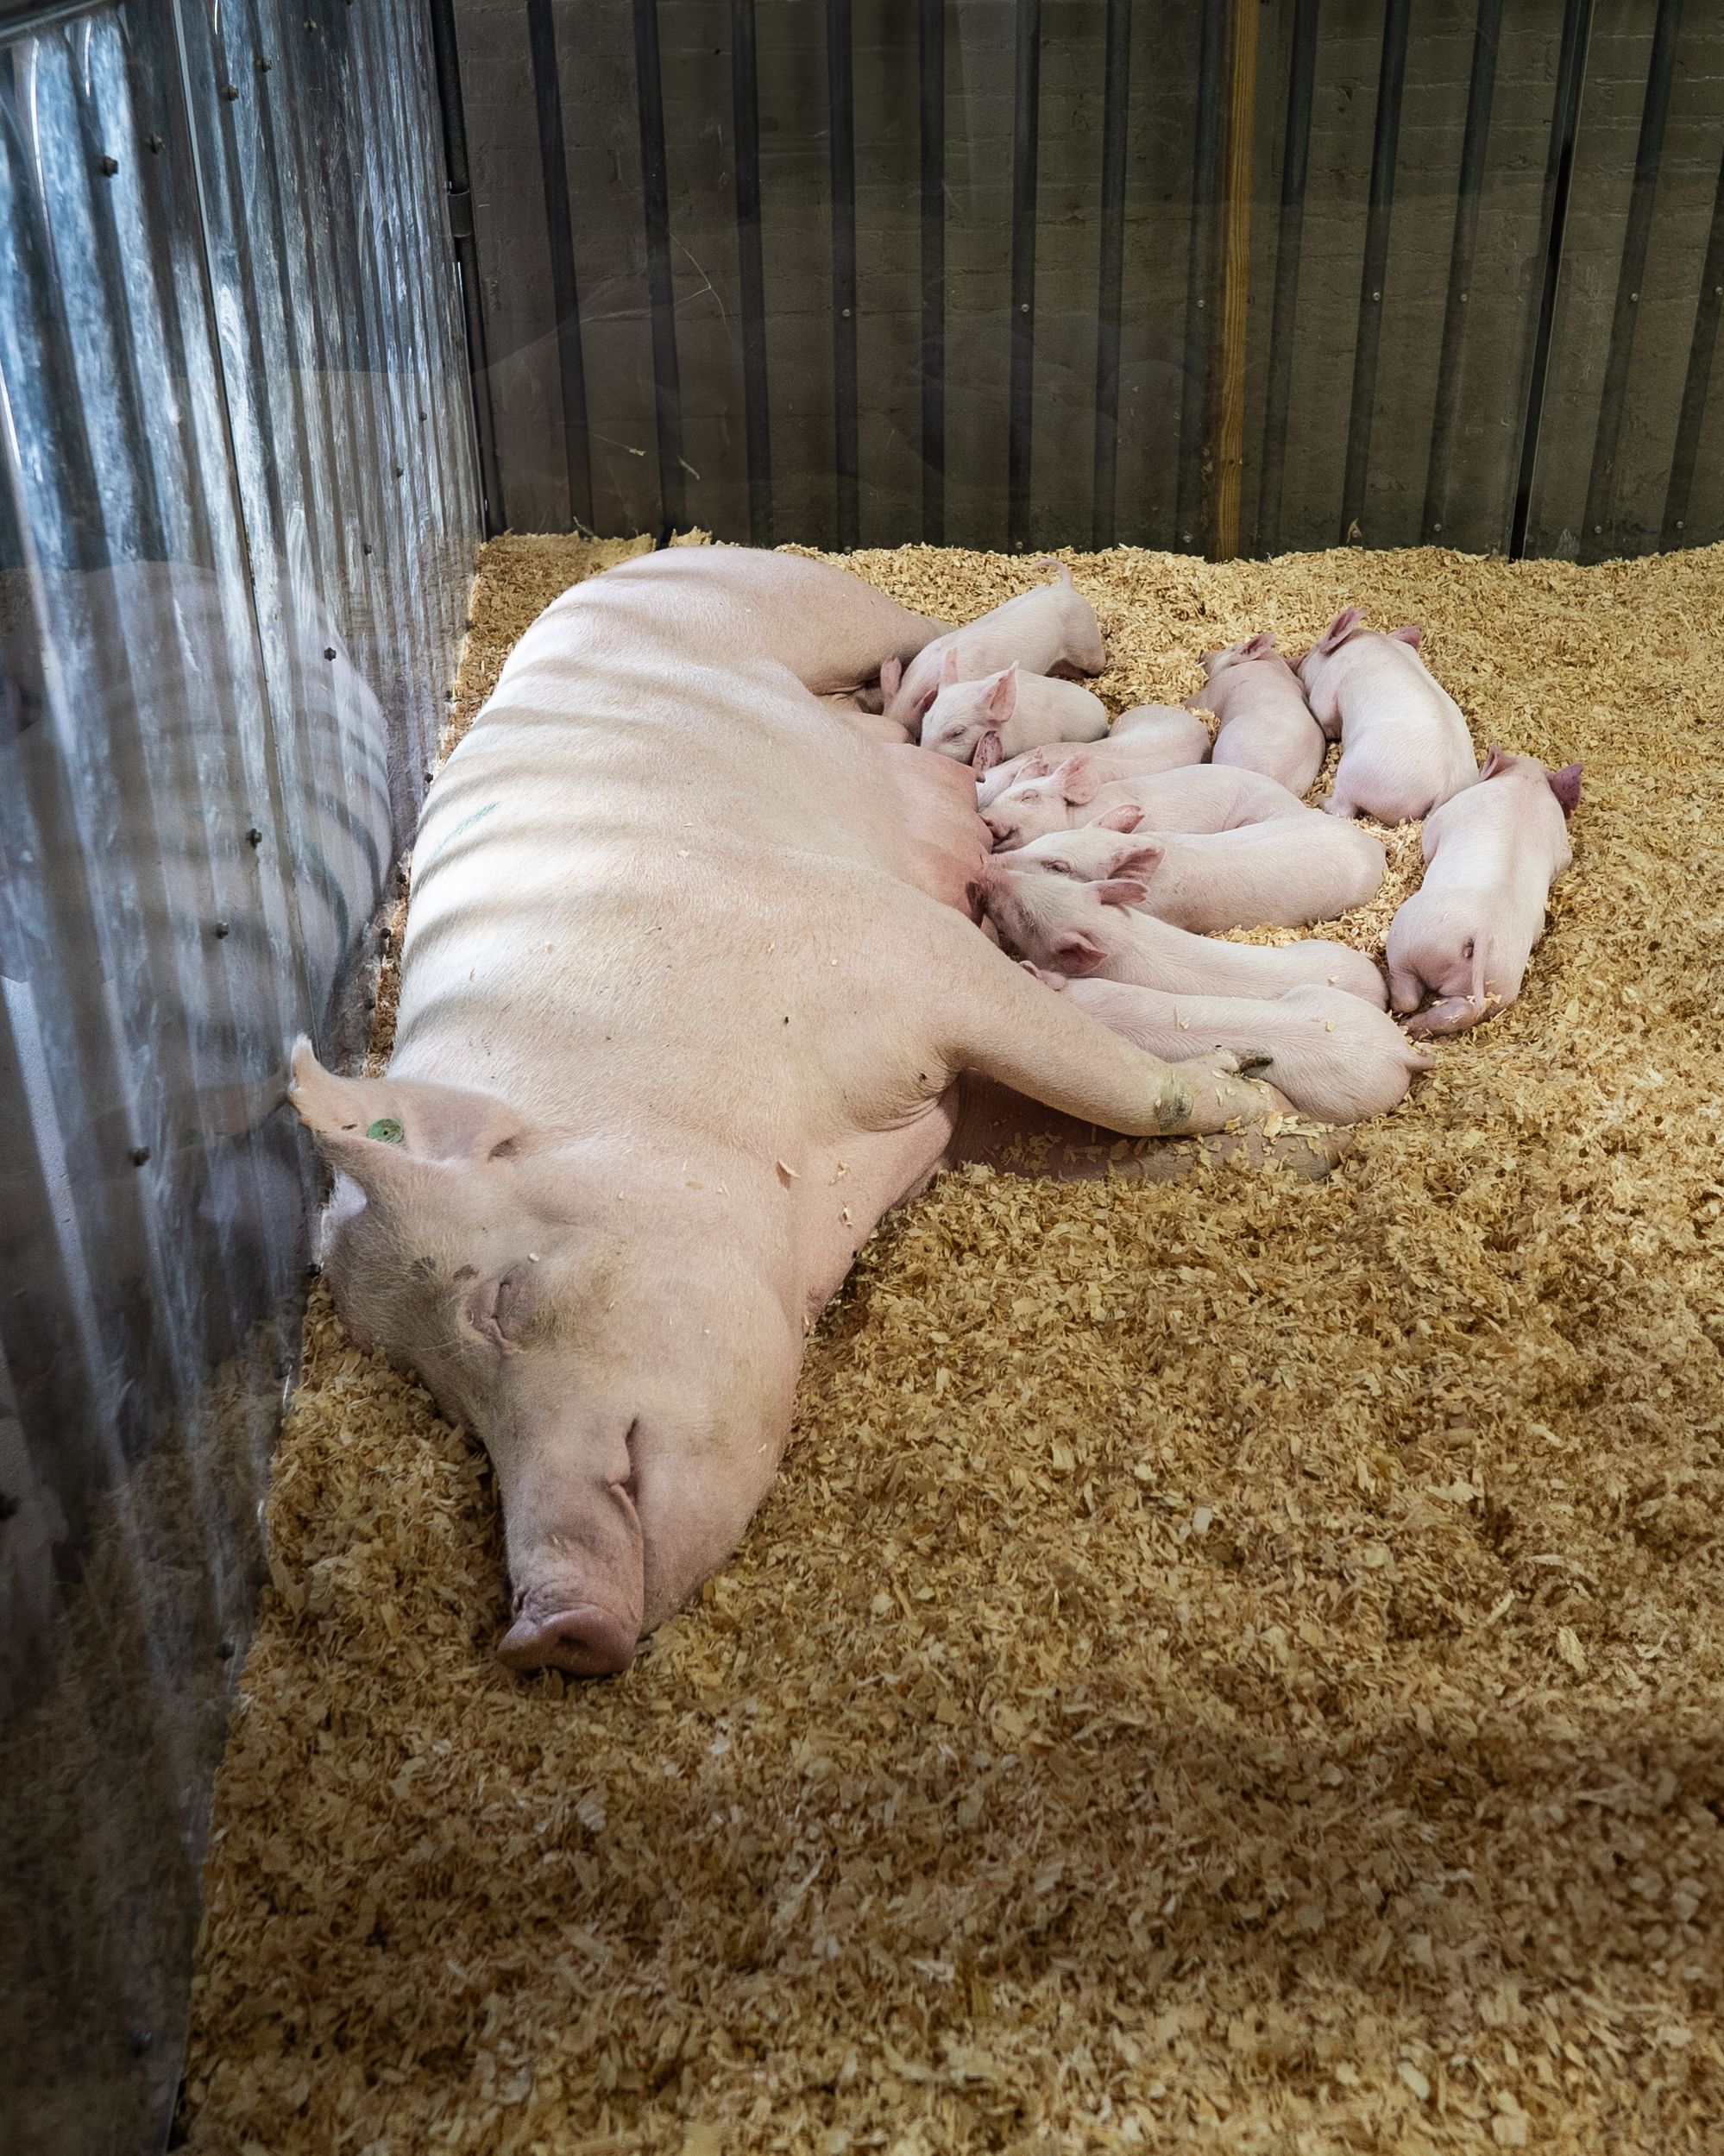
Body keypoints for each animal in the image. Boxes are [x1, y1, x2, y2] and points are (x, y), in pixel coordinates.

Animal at [1297, 607, 1478, 822]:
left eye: (1315, 647)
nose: (1297, 662)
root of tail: (1445, 790)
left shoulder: (1327, 690)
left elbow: (1326, 720)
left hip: (1356, 773)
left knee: (1343, 809)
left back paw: (1317, 799)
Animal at [1385, 745, 1581, 1036]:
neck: (1527, 783)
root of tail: (1482, 932)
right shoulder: (1562, 850)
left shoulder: (1447, 815)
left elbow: (1429, 841)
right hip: (1501, 981)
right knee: (1459, 1010)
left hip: (1409, 940)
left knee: (1407, 994)